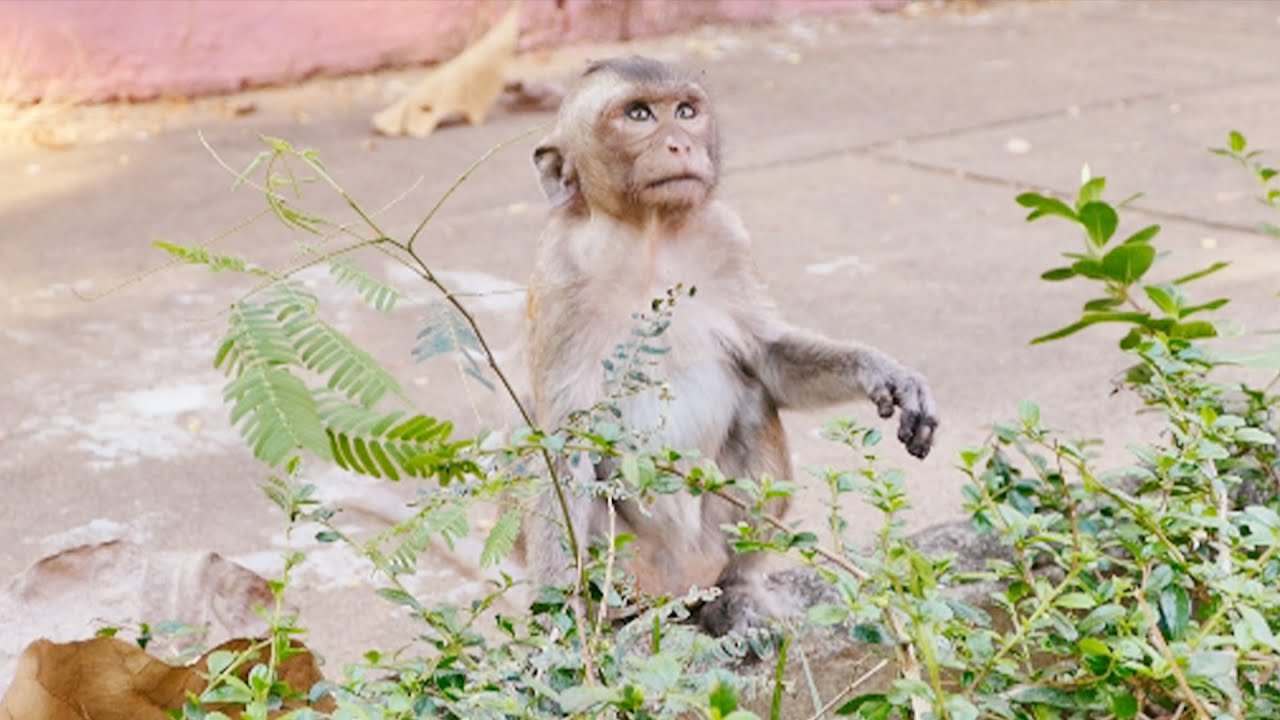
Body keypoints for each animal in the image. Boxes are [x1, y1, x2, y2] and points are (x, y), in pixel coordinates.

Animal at [521, 56, 938, 635]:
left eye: (686, 112)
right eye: (639, 114)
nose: (679, 144)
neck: (647, 239)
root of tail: (679, 583)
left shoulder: (726, 237)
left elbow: (768, 360)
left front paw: (884, 372)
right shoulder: (559, 278)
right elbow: (564, 446)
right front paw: (557, 633)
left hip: (711, 545)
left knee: (753, 399)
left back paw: (736, 591)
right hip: (630, 565)